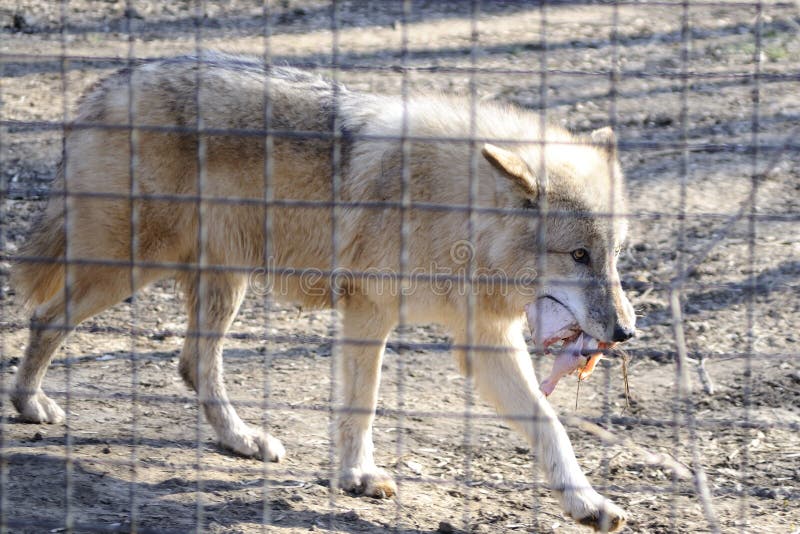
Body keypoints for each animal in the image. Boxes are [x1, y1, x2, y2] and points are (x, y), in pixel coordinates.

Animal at [12, 53, 635, 531]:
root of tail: (109, 85)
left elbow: (551, 426)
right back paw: (28, 404)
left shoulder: (483, 341)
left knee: (193, 364)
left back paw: (242, 440)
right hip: (128, 268)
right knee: (45, 318)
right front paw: (357, 476)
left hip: (223, 282)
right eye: (578, 256)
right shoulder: (369, 313)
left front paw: (587, 503)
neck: (454, 219)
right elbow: (362, 403)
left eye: (614, 254)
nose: (626, 331)